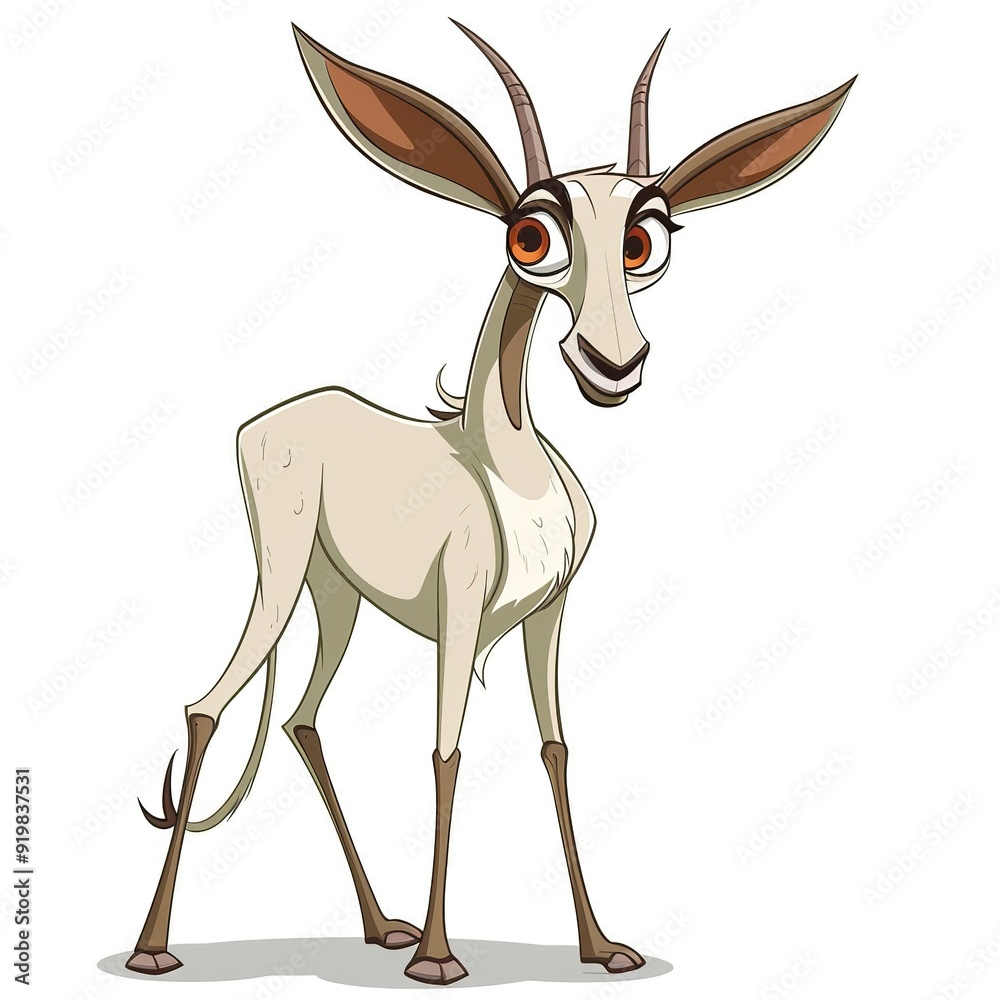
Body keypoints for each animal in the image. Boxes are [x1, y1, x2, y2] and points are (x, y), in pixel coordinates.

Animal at [124, 21, 854, 985]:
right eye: (530, 236)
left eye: (642, 243)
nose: (612, 363)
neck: (509, 471)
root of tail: (273, 416)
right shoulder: (462, 610)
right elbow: (446, 751)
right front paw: (440, 959)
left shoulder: (550, 613)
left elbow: (554, 748)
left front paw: (601, 946)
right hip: (280, 578)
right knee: (208, 706)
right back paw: (155, 948)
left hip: (336, 596)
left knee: (301, 717)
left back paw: (380, 925)